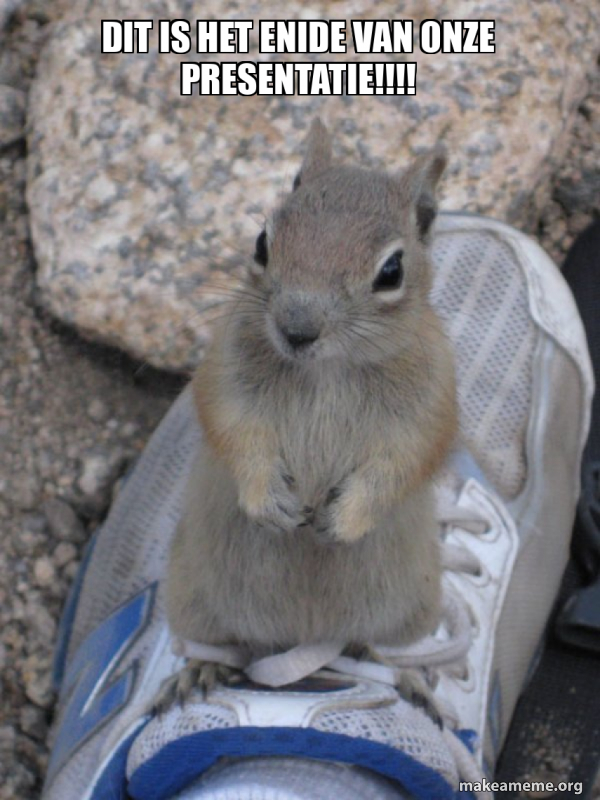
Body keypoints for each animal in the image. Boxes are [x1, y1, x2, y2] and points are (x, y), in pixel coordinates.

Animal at [163, 118, 457, 701]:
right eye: (263, 241)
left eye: (392, 271)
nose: (296, 329)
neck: (327, 370)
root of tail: (305, 634)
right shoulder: (227, 377)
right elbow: (236, 434)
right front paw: (268, 500)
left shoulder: (429, 406)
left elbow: (401, 464)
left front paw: (345, 519)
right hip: (189, 596)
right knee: (228, 644)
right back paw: (201, 670)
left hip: (414, 609)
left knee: (364, 644)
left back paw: (400, 675)